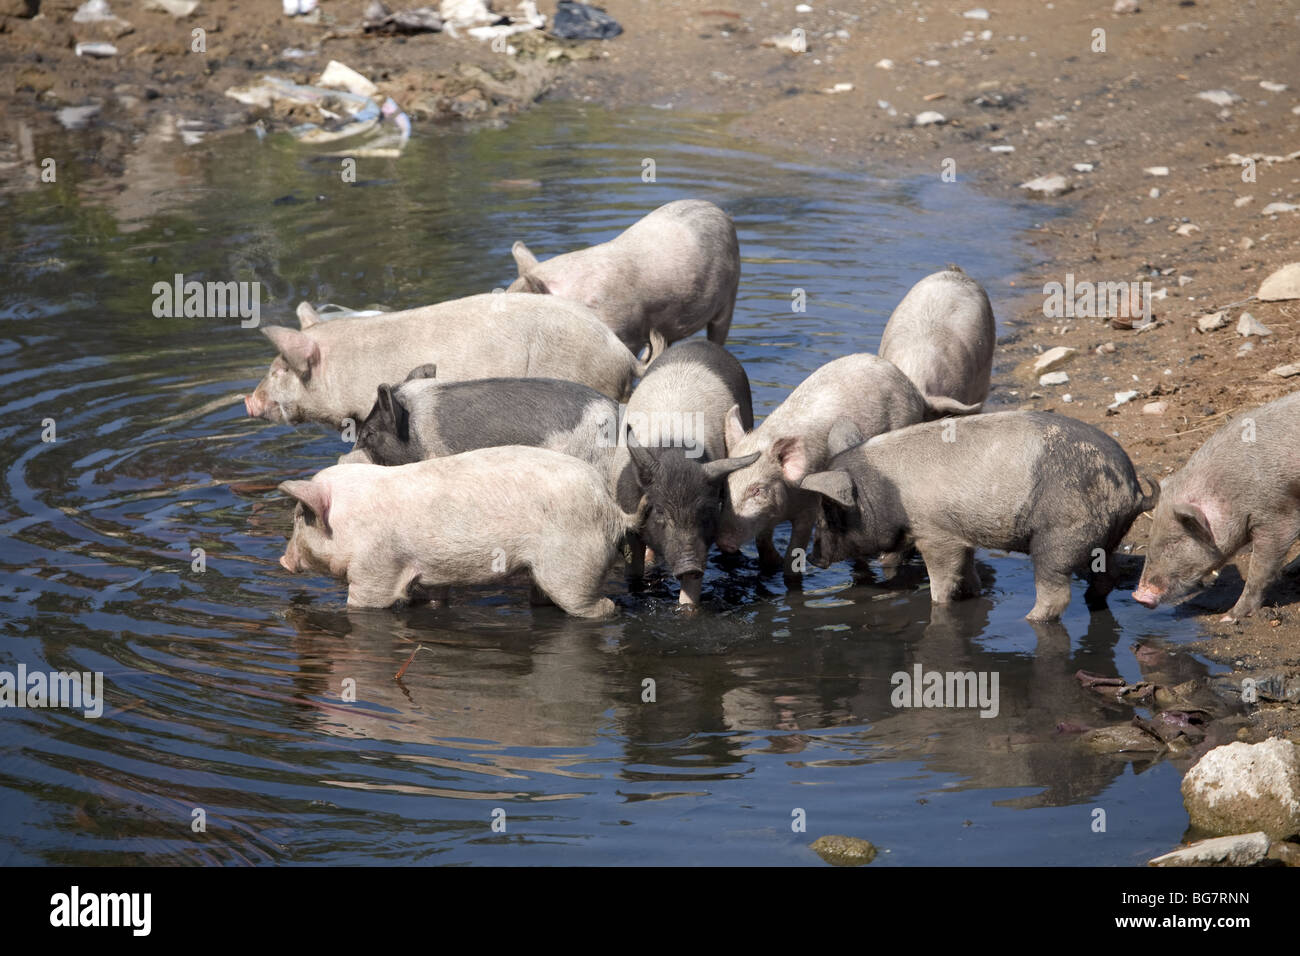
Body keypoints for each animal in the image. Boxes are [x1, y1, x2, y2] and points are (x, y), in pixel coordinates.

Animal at [278, 446, 647, 617]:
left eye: (299, 517)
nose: (282, 561)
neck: (348, 525)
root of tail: (613, 510)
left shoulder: (375, 567)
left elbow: (365, 604)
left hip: (573, 565)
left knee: (598, 606)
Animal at [608, 340, 763, 605]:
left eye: (705, 510)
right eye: (660, 511)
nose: (689, 565)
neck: (675, 453)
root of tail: (701, 343)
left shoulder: (704, 538)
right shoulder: (630, 517)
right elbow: (634, 570)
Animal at [716, 353, 928, 574]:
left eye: (757, 490)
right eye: (725, 488)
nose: (723, 542)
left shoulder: (809, 507)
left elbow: (795, 551)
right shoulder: (766, 516)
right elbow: (762, 541)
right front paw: (773, 563)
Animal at [798, 411, 1155, 621]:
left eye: (828, 512)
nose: (812, 557)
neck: (885, 492)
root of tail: (1132, 490)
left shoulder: (935, 533)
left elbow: (943, 578)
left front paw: (938, 605)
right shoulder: (960, 535)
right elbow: (968, 573)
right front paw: (973, 593)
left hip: (1060, 536)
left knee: (1055, 594)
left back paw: (1027, 620)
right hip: (1105, 540)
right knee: (1107, 575)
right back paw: (1091, 601)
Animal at [1133, 391, 1300, 622]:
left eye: (1175, 541)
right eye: (1150, 536)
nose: (1138, 596)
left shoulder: (1277, 514)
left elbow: (1260, 569)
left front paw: (1230, 617)